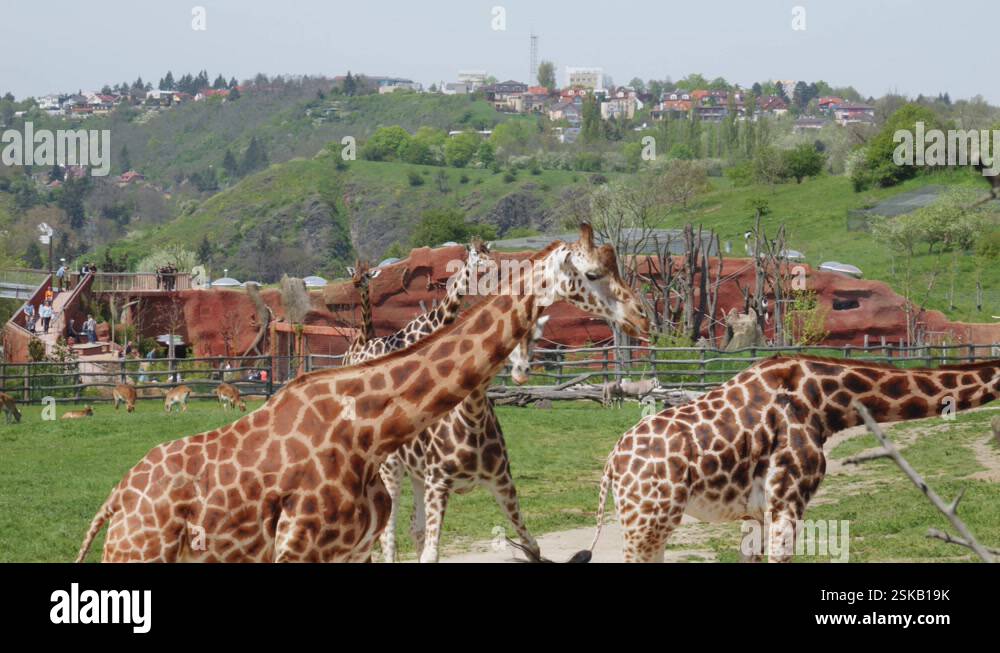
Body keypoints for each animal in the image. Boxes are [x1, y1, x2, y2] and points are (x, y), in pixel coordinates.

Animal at [75, 225, 649, 563]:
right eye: (593, 272)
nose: (642, 318)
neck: (367, 425)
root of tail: (115, 499)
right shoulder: (302, 549)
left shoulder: (350, 546)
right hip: (138, 552)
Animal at [579, 355, 1000, 563]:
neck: (829, 402)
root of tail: (611, 465)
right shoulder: (789, 499)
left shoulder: (757, 512)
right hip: (646, 521)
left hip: (648, 521)